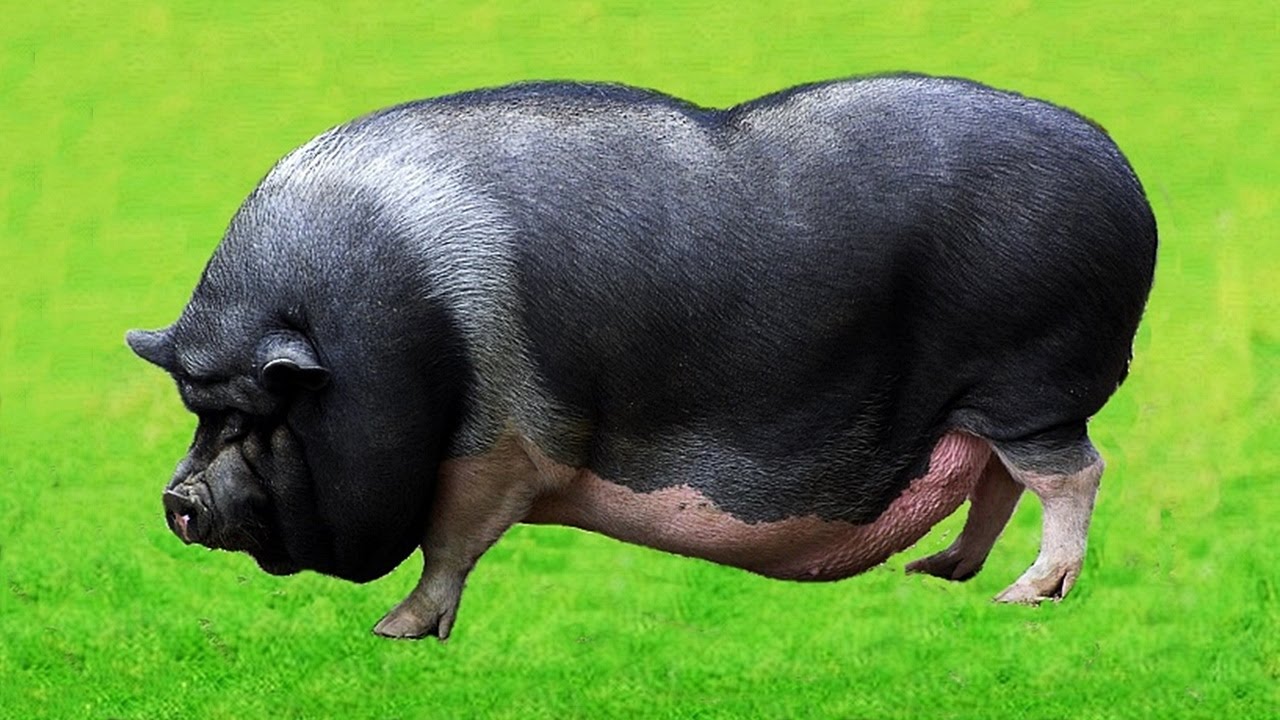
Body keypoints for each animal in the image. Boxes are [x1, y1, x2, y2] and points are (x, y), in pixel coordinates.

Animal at [127, 74, 1157, 640]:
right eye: (198, 410)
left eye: (265, 413)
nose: (178, 500)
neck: (401, 336)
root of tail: (1126, 174)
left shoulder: (502, 443)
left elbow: (451, 542)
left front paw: (394, 632)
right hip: (983, 403)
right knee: (995, 479)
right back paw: (940, 574)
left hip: (1035, 382)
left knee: (1072, 474)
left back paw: (1026, 598)